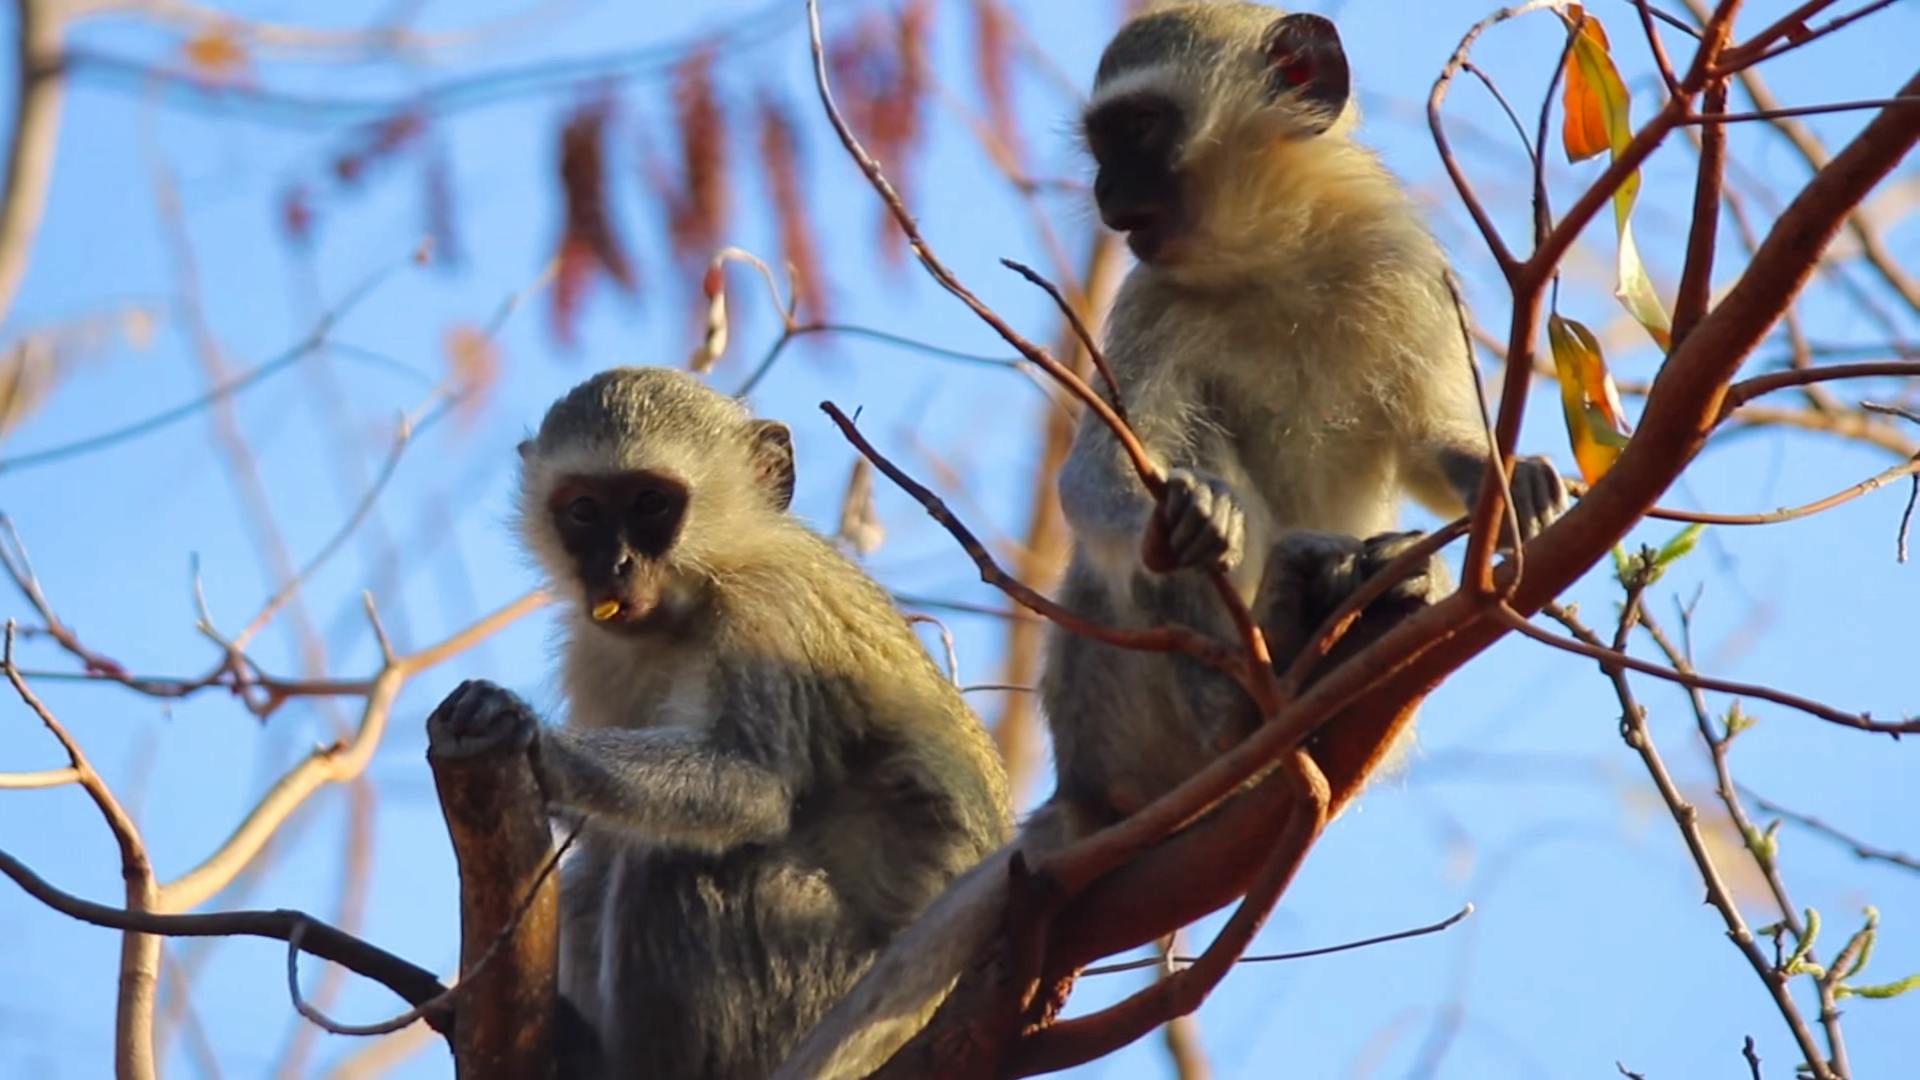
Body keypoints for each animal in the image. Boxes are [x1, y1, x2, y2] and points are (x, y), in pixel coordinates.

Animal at [426, 365, 1012, 1079]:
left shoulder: (770, 611)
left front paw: (541, 745)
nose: (613, 567)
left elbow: (750, 786)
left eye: (651, 504)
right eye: (583, 510)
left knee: (669, 860)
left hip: (809, 983)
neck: (694, 601)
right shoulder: (597, 651)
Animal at [774, 6, 1567, 1077]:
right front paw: (1188, 521)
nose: (1109, 194)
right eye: (1104, 141)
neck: (1273, 256)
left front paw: (1510, 481)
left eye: (1140, 128)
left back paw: (1365, 596)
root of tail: (1083, 785)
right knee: (1173, 511)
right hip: (1115, 709)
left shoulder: (1399, 262)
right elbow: (1096, 478)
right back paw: (1256, 668)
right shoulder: (1149, 305)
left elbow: (1428, 439)